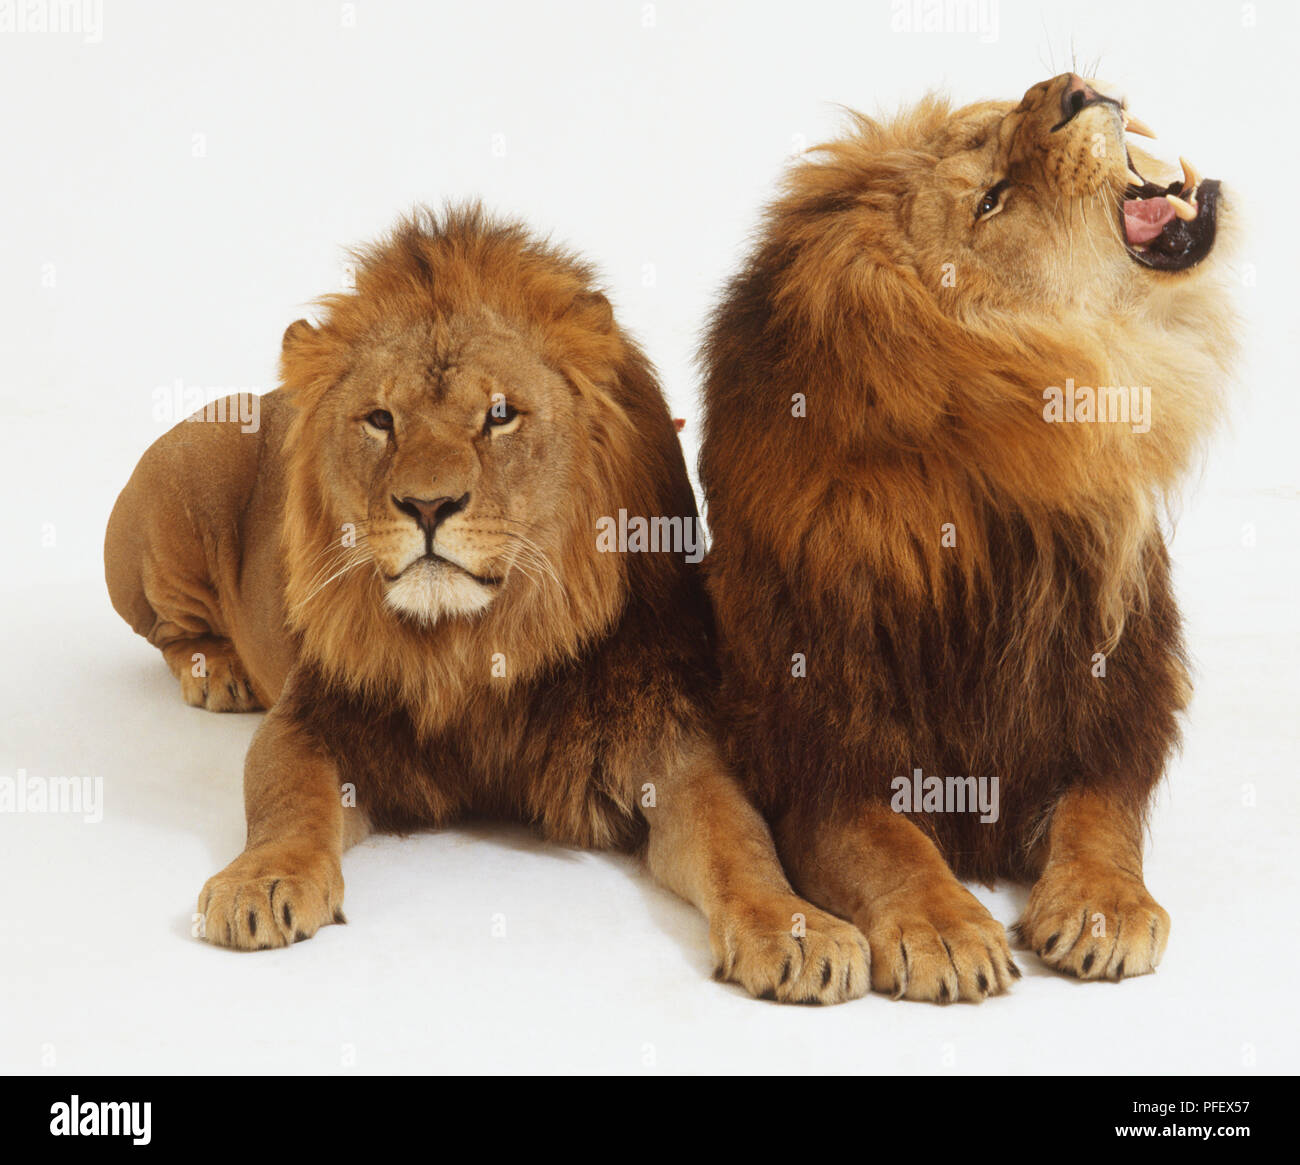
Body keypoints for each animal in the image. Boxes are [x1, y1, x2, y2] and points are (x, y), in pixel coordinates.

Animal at [105, 205, 869, 1003]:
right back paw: (217, 670)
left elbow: (737, 837)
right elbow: (287, 801)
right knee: (171, 628)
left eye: (499, 415)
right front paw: (261, 881)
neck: (478, 639)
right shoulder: (314, 715)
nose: (428, 504)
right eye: (380, 418)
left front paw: (795, 927)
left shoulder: (668, 735)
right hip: (186, 465)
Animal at [698, 74, 1238, 1002]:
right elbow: (888, 841)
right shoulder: (817, 743)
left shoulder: (1112, 702)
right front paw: (944, 928)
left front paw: (1104, 908)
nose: (1071, 90)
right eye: (991, 199)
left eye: (1001, 119)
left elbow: (1103, 815)